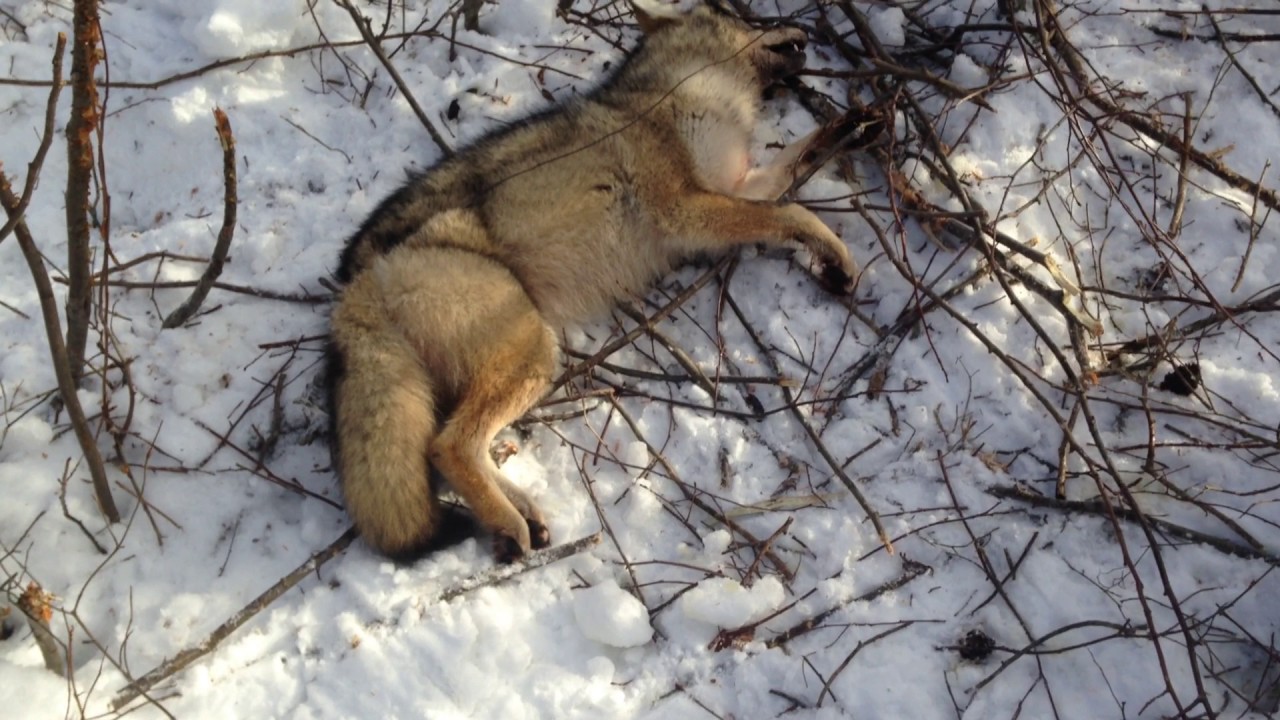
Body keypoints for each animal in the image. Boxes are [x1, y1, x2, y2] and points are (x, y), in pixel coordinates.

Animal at [327, 0, 862, 563]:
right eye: (734, 14)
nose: (801, 31)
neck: (695, 92)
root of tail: (356, 291)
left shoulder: (735, 188)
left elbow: (792, 171)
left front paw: (854, 125)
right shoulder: (689, 208)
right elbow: (795, 212)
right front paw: (837, 256)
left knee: (456, 449)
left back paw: (521, 519)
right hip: (533, 353)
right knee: (447, 446)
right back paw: (512, 525)